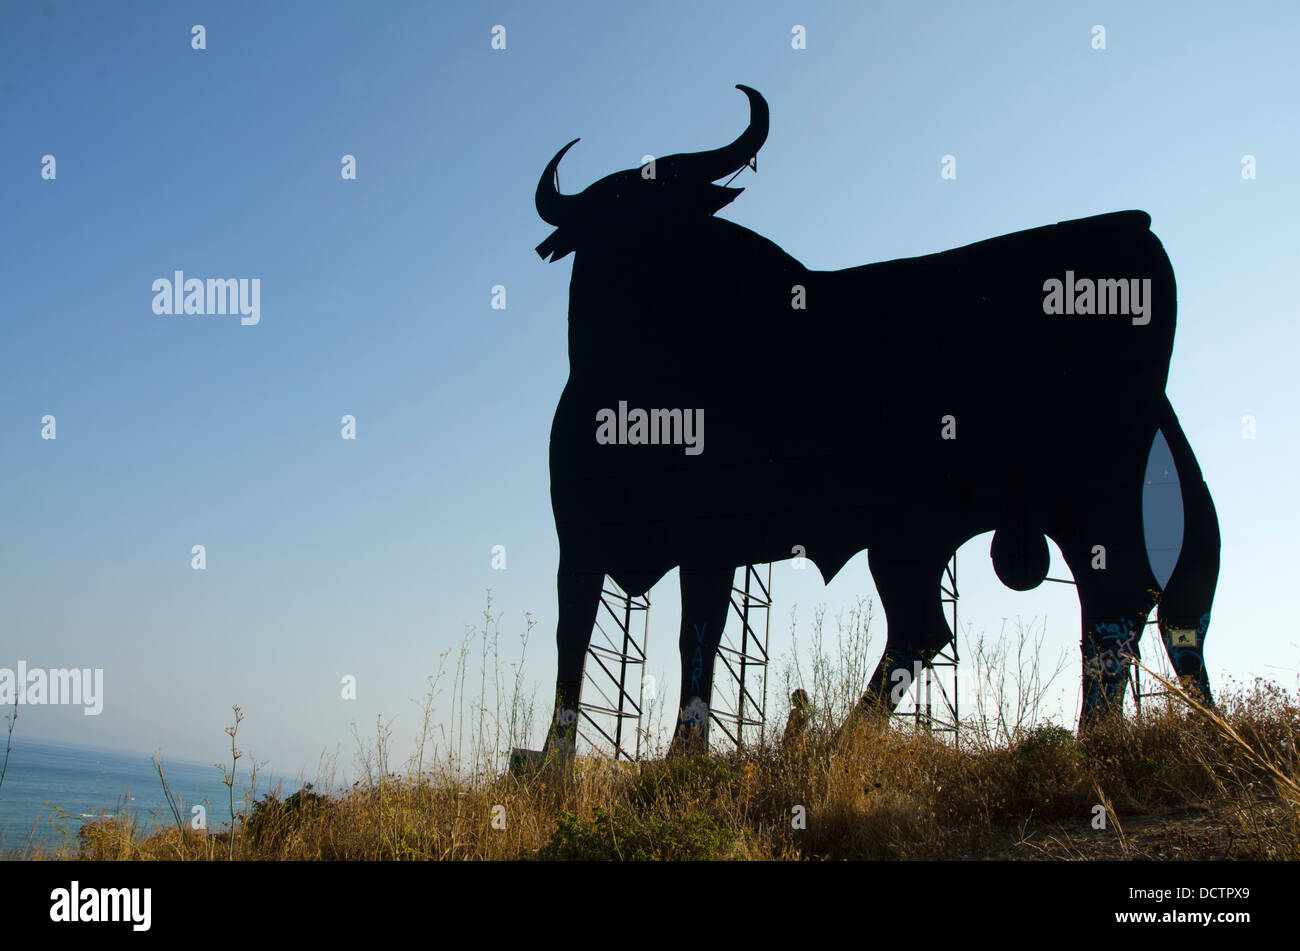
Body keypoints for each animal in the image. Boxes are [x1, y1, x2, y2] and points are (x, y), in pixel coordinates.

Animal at [533, 85, 1220, 757]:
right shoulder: (580, 541)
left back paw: (1091, 741)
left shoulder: (712, 540)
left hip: (1087, 489)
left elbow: (693, 638)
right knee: (943, 622)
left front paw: (681, 757)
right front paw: (553, 766)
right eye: (605, 216)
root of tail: (1134, 226)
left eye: (670, 207)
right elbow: (574, 643)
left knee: (1115, 599)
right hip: (924, 532)